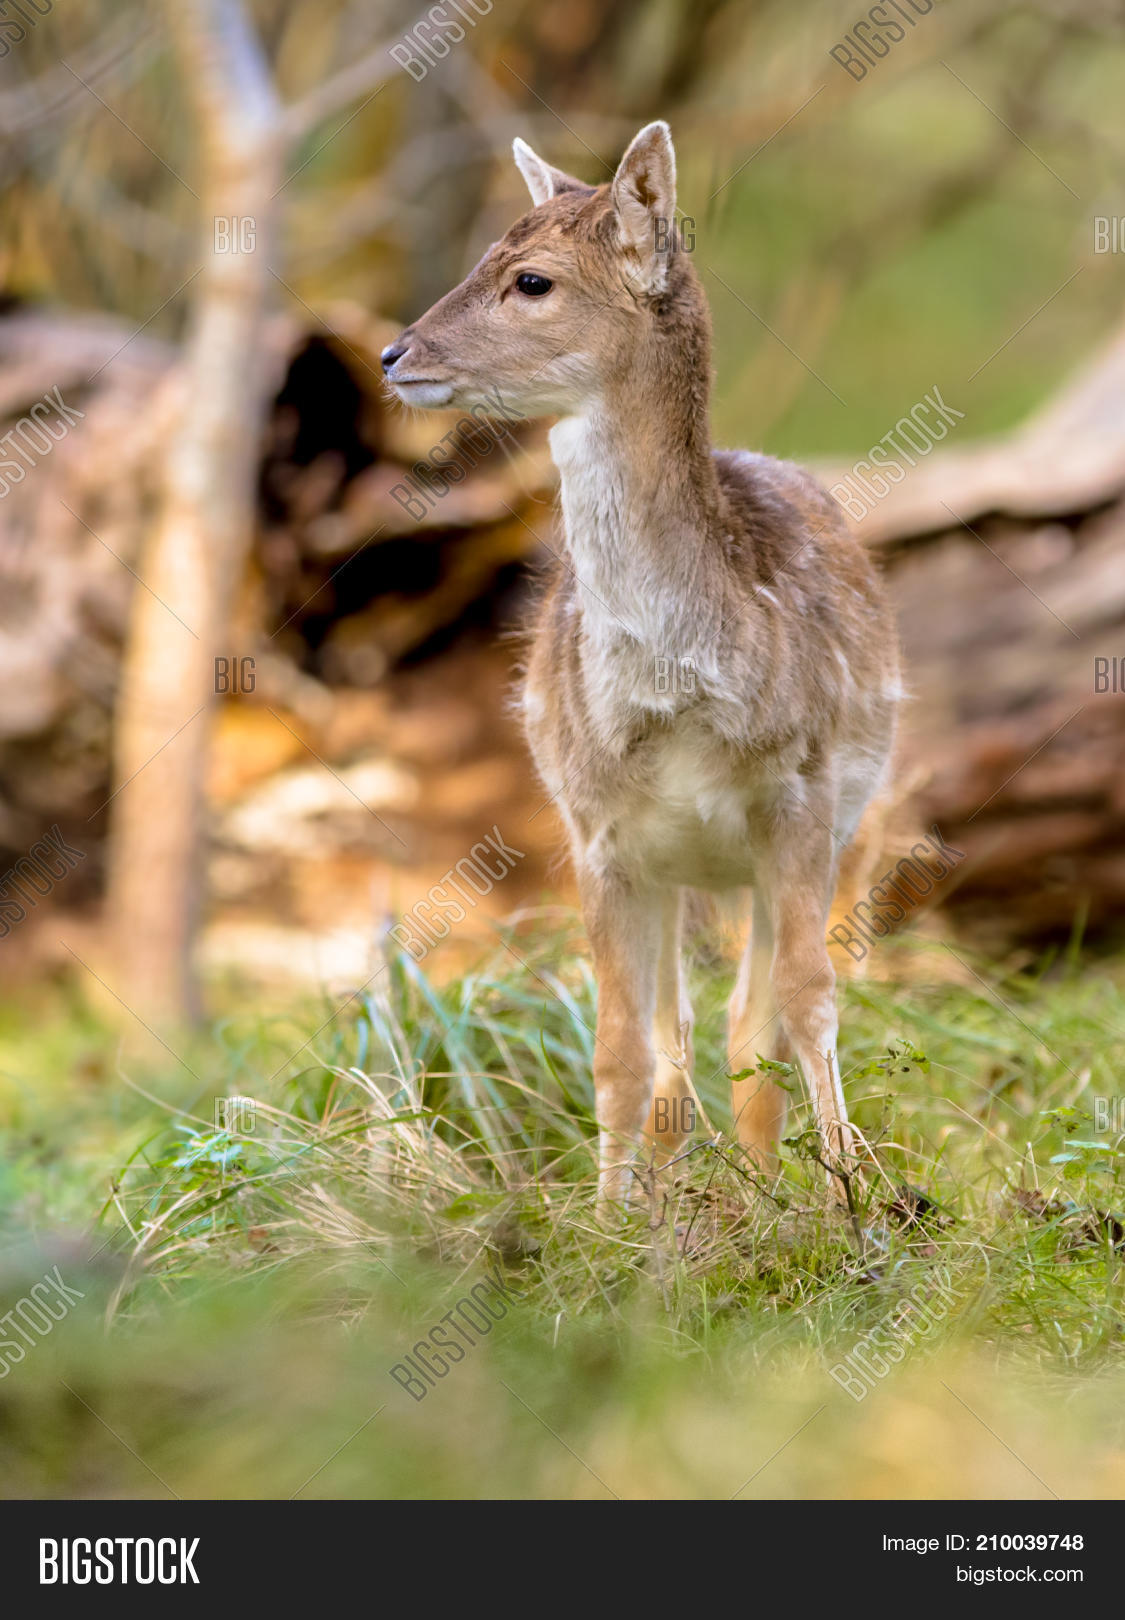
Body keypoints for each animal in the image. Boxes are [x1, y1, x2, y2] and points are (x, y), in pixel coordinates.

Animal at [382, 121, 901, 1217]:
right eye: (485, 252)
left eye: (530, 278)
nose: (394, 352)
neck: (681, 696)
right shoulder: (598, 832)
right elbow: (618, 1047)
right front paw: (605, 1225)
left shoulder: (801, 794)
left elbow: (809, 999)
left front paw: (856, 1203)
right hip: (671, 871)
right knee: (682, 1034)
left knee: (748, 1020)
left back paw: (766, 1189)